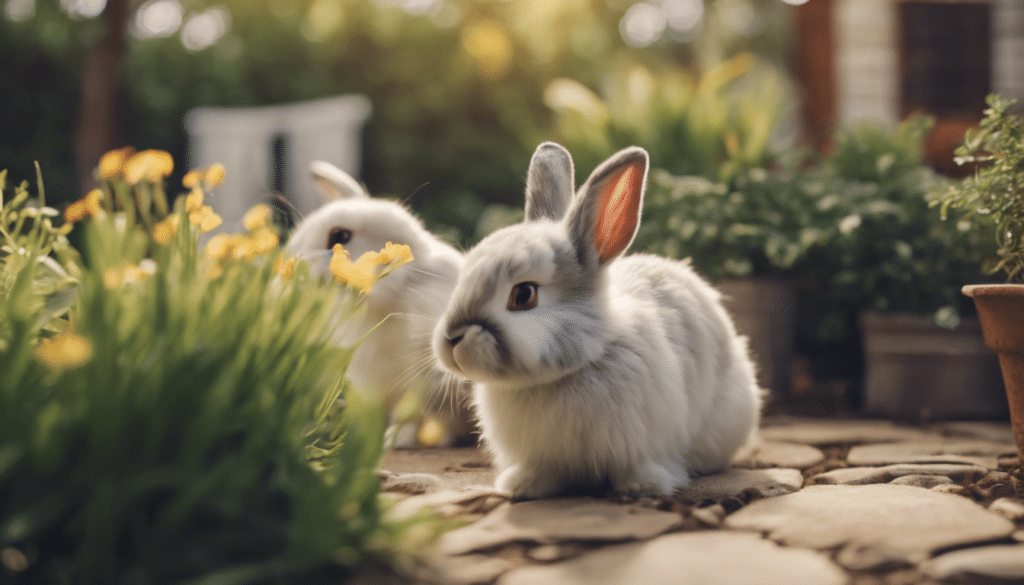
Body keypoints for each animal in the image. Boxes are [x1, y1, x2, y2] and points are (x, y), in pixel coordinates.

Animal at [287, 161, 475, 446]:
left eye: (339, 236)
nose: (295, 269)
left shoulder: (425, 378)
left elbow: (412, 415)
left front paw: (395, 440)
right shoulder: (376, 387)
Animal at [432, 142, 763, 498]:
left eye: (523, 295)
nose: (451, 338)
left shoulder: (642, 441)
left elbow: (639, 464)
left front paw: (643, 486)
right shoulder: (545, 455)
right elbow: (542, 470)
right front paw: (520, 486)